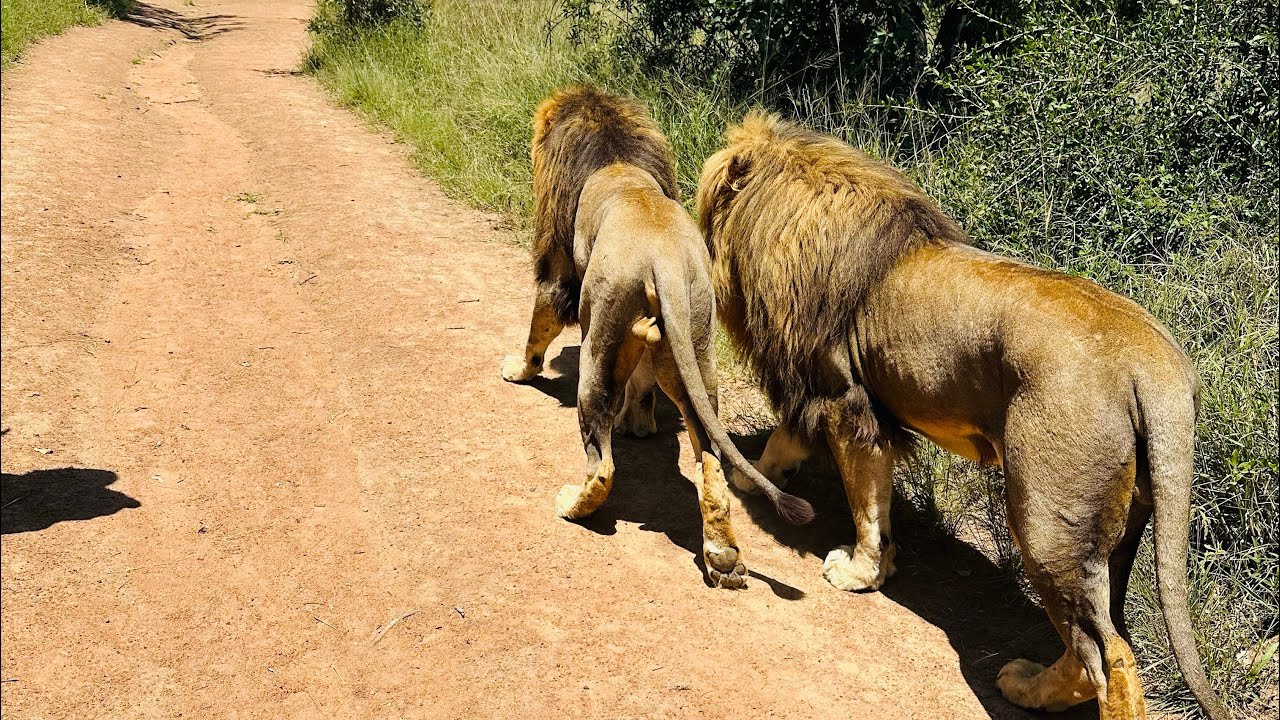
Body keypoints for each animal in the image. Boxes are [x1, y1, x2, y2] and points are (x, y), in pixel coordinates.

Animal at [499, 87, 814, 589]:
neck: (617, 157)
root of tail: (662, 256)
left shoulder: (560, 269)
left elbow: (540, 320)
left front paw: (518, 369)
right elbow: (642, 386)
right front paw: (639, 422)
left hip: (599, 339)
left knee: (602, 462)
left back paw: (573, 504)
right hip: (696, 343)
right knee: (710, 461)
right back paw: (723, 558)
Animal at [695, 112, 1230, 720]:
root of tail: (1155, 365)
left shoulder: (843, 398)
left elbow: (866, 504)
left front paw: (858, 572)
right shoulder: (822, 388)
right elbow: (792, 446)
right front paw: (754, 474)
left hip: (1047, 525)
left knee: (1105, 654)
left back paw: (1025, 686)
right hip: (1117, 531)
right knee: (1105, 637)